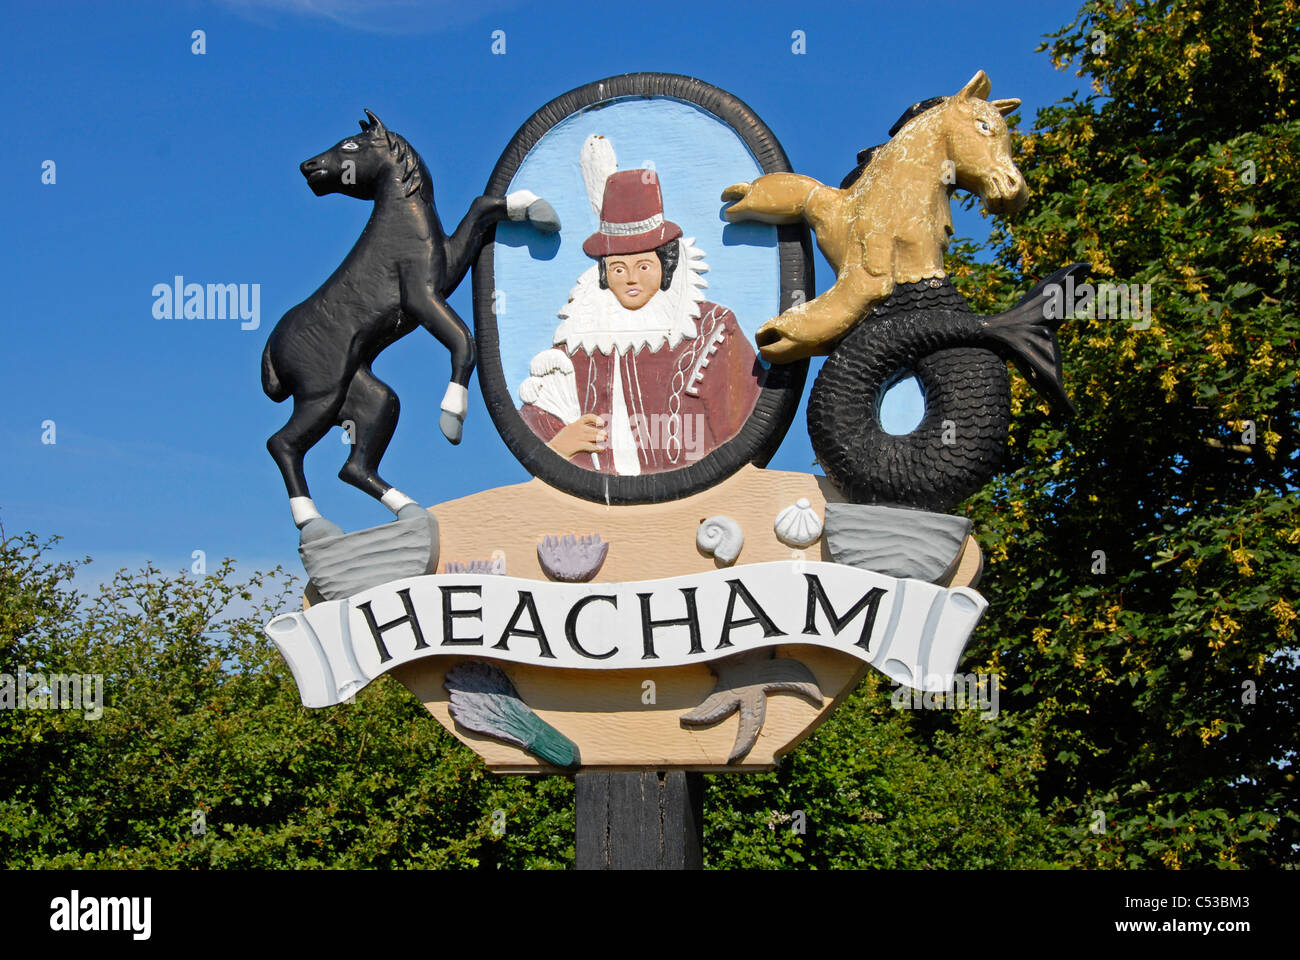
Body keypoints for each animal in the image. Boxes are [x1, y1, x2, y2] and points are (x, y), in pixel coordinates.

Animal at [261, 110, 556, 538]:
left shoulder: (449, 265)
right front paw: (451, 421)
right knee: (281, 444)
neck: (400, 220)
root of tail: (270, 350)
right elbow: (464, 342)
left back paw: (408, 508)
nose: (308, 167)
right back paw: (314, 522)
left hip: (366, 396)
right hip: (320, 394)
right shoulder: (421, 295)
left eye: (350, 145)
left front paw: (541, 210)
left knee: (352, 466)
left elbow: (481, 205)